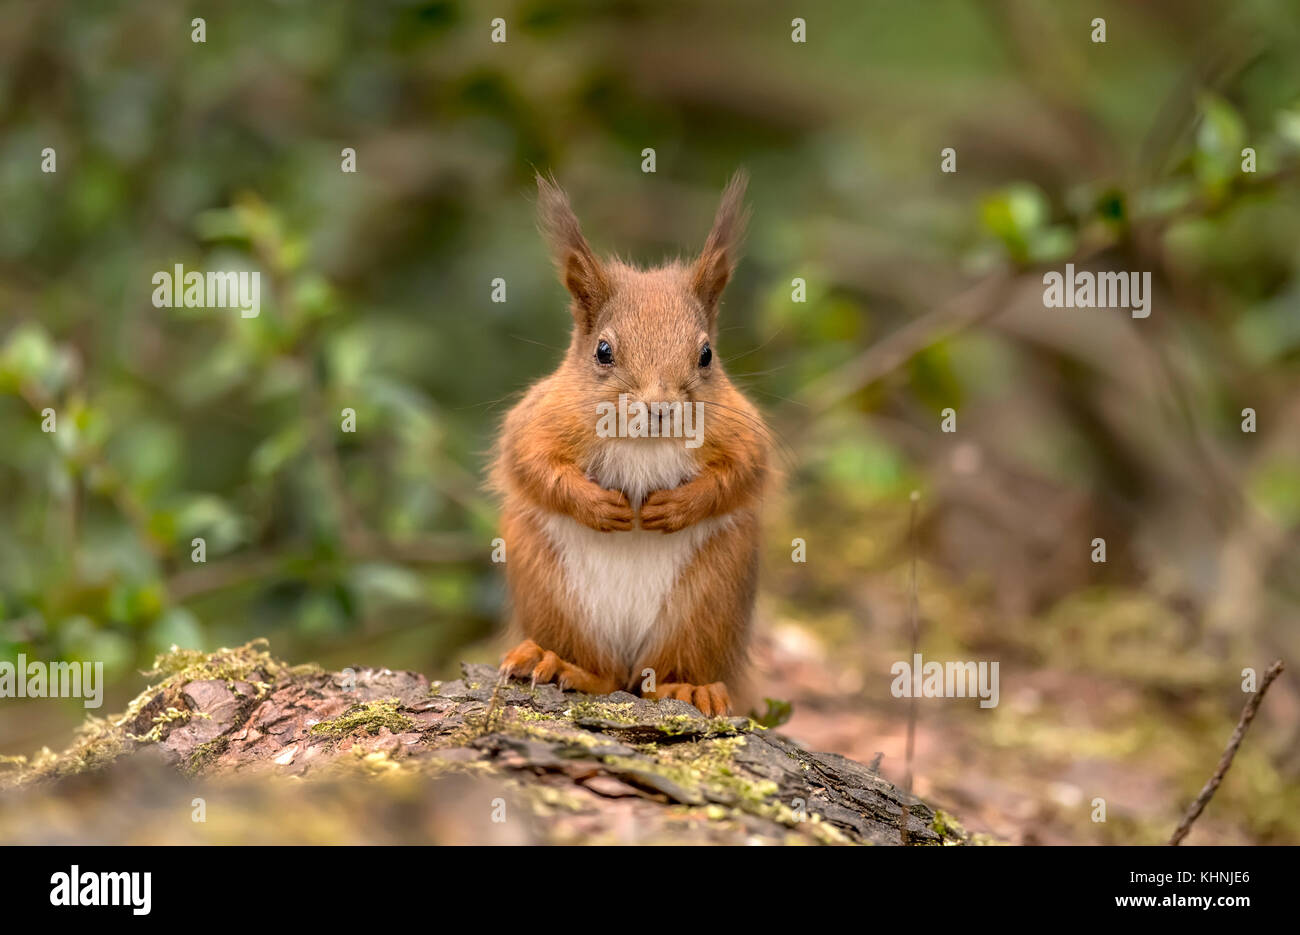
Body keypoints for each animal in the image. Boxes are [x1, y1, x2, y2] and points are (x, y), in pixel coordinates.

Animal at [490, 171, 771, 716]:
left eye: (707, 355)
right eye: (603, 350)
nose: (660, 407)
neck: (642, 442)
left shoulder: (744, 431)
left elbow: (745, 471)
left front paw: (680, 507)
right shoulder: (538, 419)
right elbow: (530, 463)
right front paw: (598, 506)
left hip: (709, 600)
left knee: (659, 674)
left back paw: (689, 687)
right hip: (550, 587)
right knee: (600, 672)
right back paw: (558, 661)